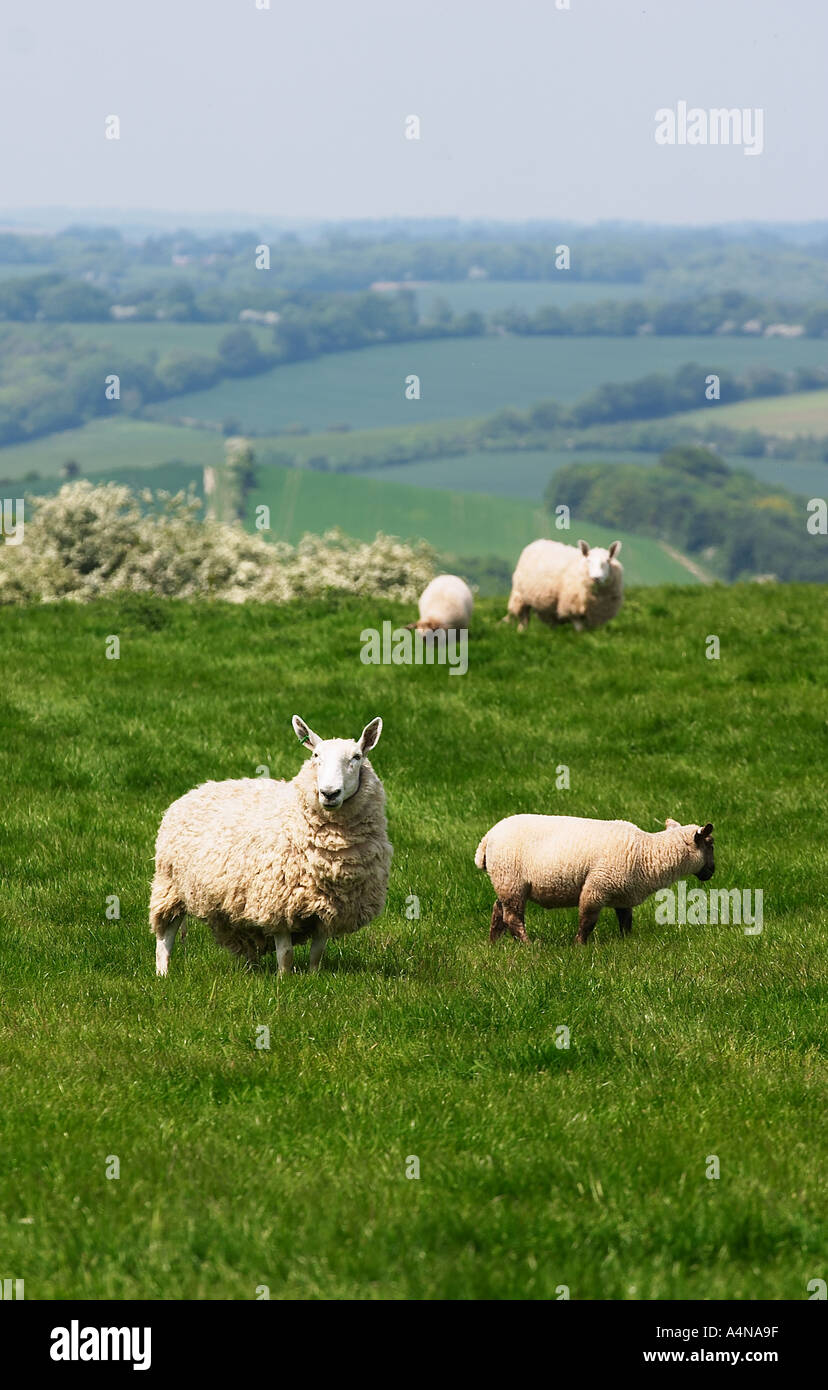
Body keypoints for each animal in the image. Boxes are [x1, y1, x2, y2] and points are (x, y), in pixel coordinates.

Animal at [150, 715, 392, 976]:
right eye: (316, 755)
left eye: (356, 757)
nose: (329, 793)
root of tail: (197, 789)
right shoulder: (277, 903)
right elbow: (285, 954)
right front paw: (283, 980)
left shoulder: (330, 908)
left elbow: (317, 953)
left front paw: (313, 977)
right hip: (170, 885)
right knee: (165, 937)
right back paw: (163, 974)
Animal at [475, 815, 714, 945]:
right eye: (710, 844)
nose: (712, 872)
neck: (648, 853)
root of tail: (487, 837)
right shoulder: (597, 886)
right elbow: (587, 920)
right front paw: (579, 946)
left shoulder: (623, 894)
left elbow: (625, 921)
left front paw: (626, 942)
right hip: (511, 879)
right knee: (513, 918)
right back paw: (530, 946)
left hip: (505, 882)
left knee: (499, 911)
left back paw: (494, 944)